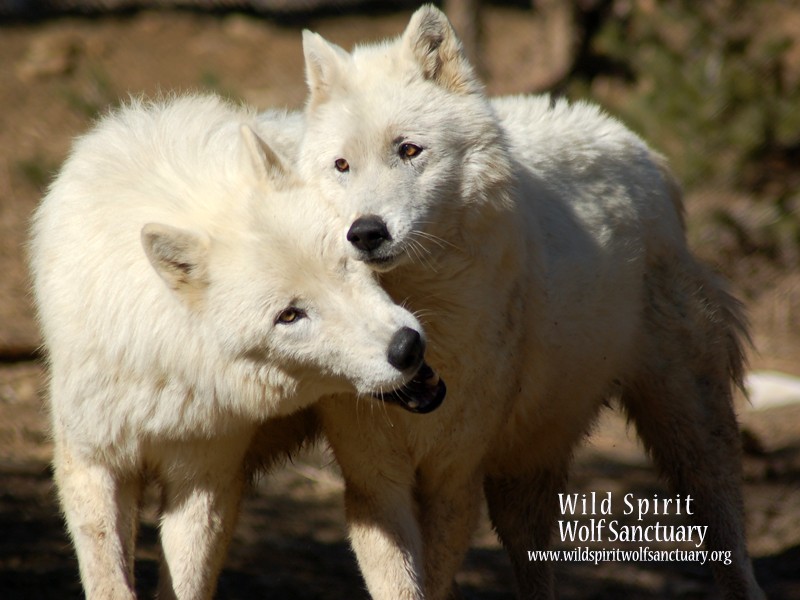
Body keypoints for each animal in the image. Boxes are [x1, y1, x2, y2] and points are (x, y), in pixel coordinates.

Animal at [28, 93, 444, 600]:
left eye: (346, 265)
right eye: (289, 315)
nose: (407, 347)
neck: (169, 368)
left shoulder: (205, 479)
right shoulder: (91, 466)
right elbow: (110, 582)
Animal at [296, 5, 764, 599]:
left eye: (409, 149)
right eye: (342, 166)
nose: (365, 232)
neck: (419, 312)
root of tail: (637, 145)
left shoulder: (453, 478)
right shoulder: (375, 481)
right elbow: (398, 582)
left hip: (690, 432)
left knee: (729, 535)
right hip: (526, 468)